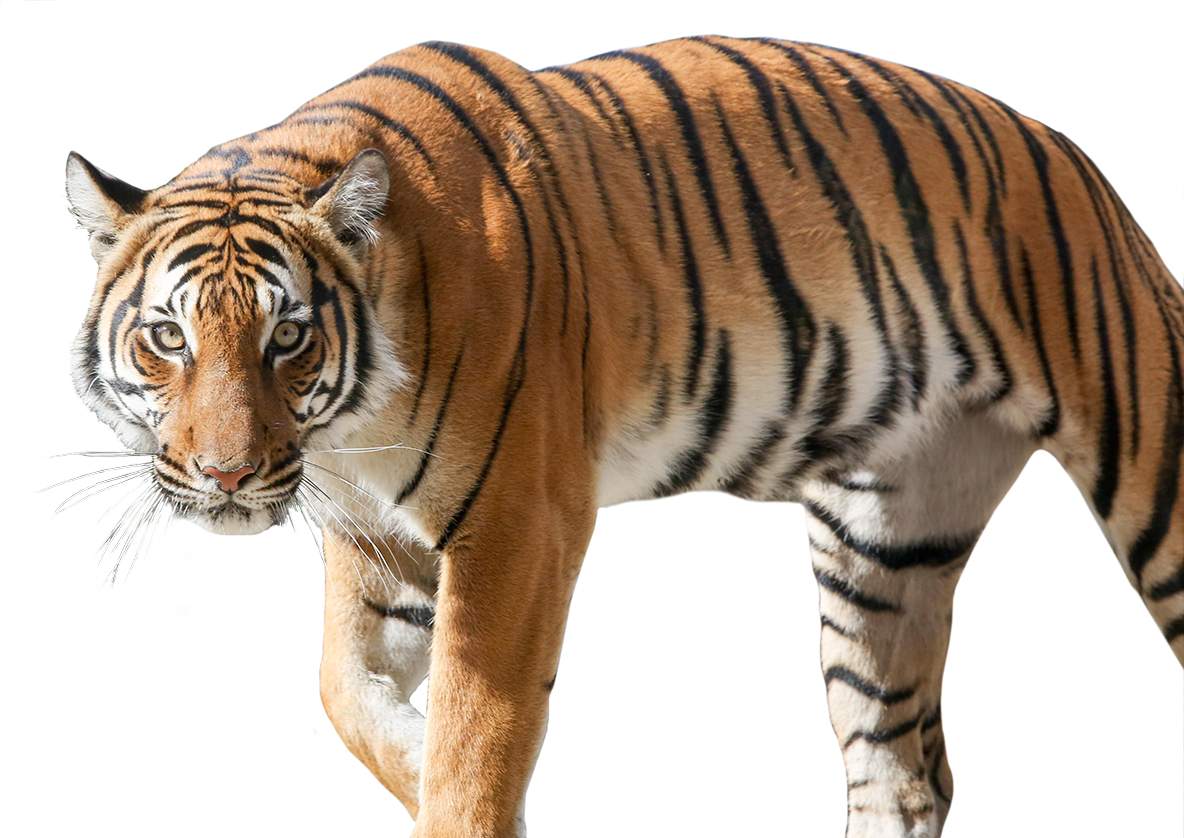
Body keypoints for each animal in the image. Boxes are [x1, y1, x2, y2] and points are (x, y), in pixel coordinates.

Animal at [61, 35, 1184, 838]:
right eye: (168, 337)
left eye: (287, 337)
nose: (226, 474)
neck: (352, 428)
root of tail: (1070, 157)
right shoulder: (379, 543)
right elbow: (350, 694)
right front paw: (417, 759)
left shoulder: (516, 527)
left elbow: (476, 735)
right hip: (886, 548)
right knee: (902, 771)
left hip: (1153, 471)